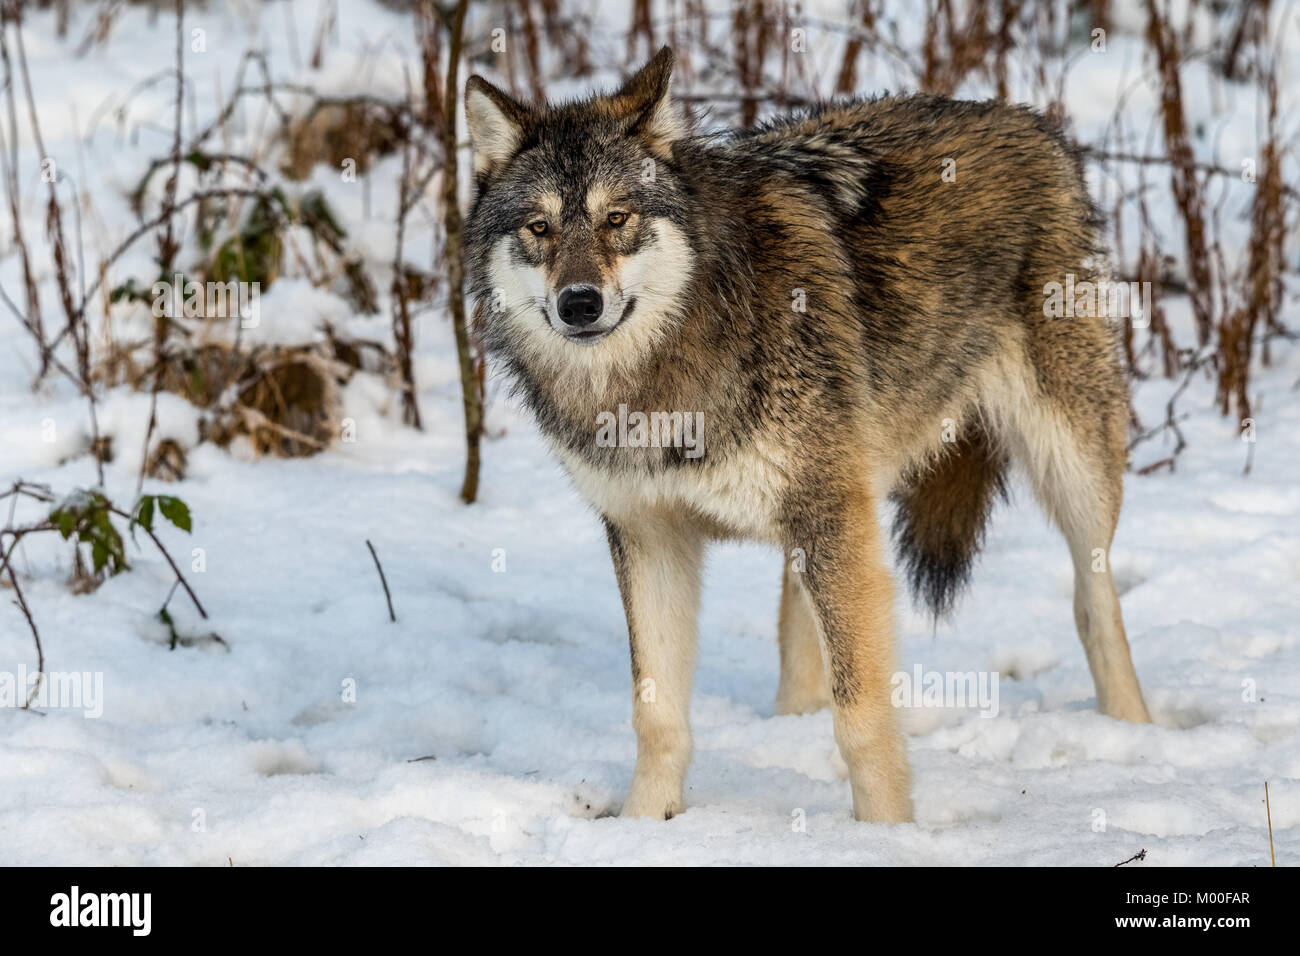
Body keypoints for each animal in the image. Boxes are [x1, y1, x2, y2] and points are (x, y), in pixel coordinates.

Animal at [463, 47, 1151, 823]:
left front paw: (887, 833)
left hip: (1067, 468)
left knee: (1093, 602)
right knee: (797, 621)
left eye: (617, 218)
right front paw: (643, 826)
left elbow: (861, 718)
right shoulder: (649, 534)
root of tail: (1022, 117)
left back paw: (1134, 732)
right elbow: (656, 713)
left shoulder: (828, 521)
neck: (656, 383)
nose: (579, 303)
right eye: (540, 228)